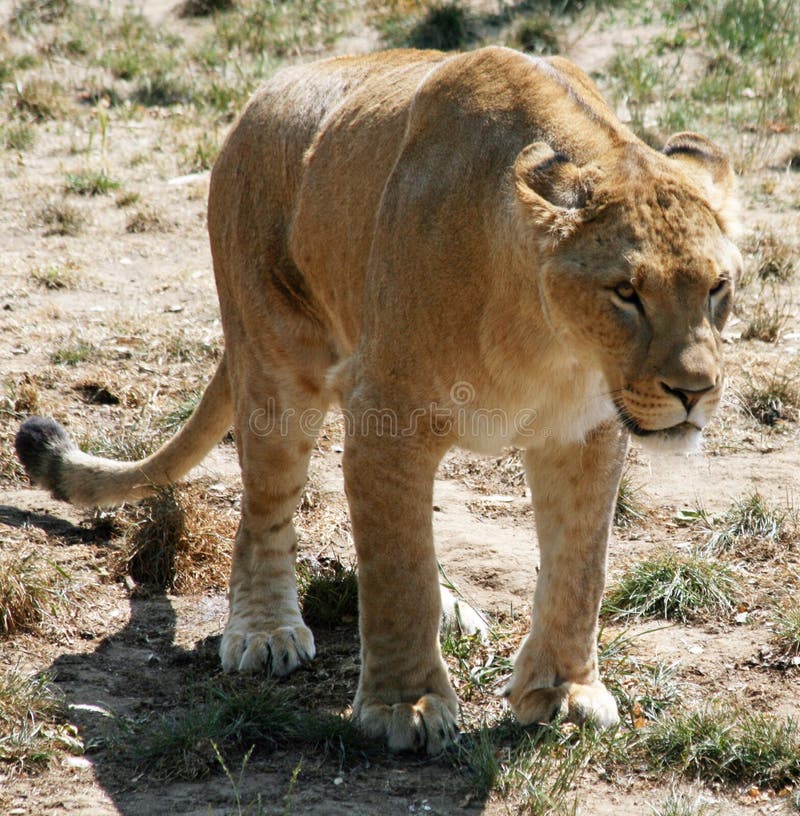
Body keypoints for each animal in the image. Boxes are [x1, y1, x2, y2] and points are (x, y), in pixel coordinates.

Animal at [15, 46, 741, 753]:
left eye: (717, 287)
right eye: (626, 292)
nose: (696, 391)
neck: (548, 341)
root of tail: (259, 100)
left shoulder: (585, 434)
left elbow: (580, 566)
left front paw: (563, 692)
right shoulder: (387, 419)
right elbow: (398, 569)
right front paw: (405, 704)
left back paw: (450, 609)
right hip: (274, 358)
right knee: (264, 509)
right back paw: (264, 629)